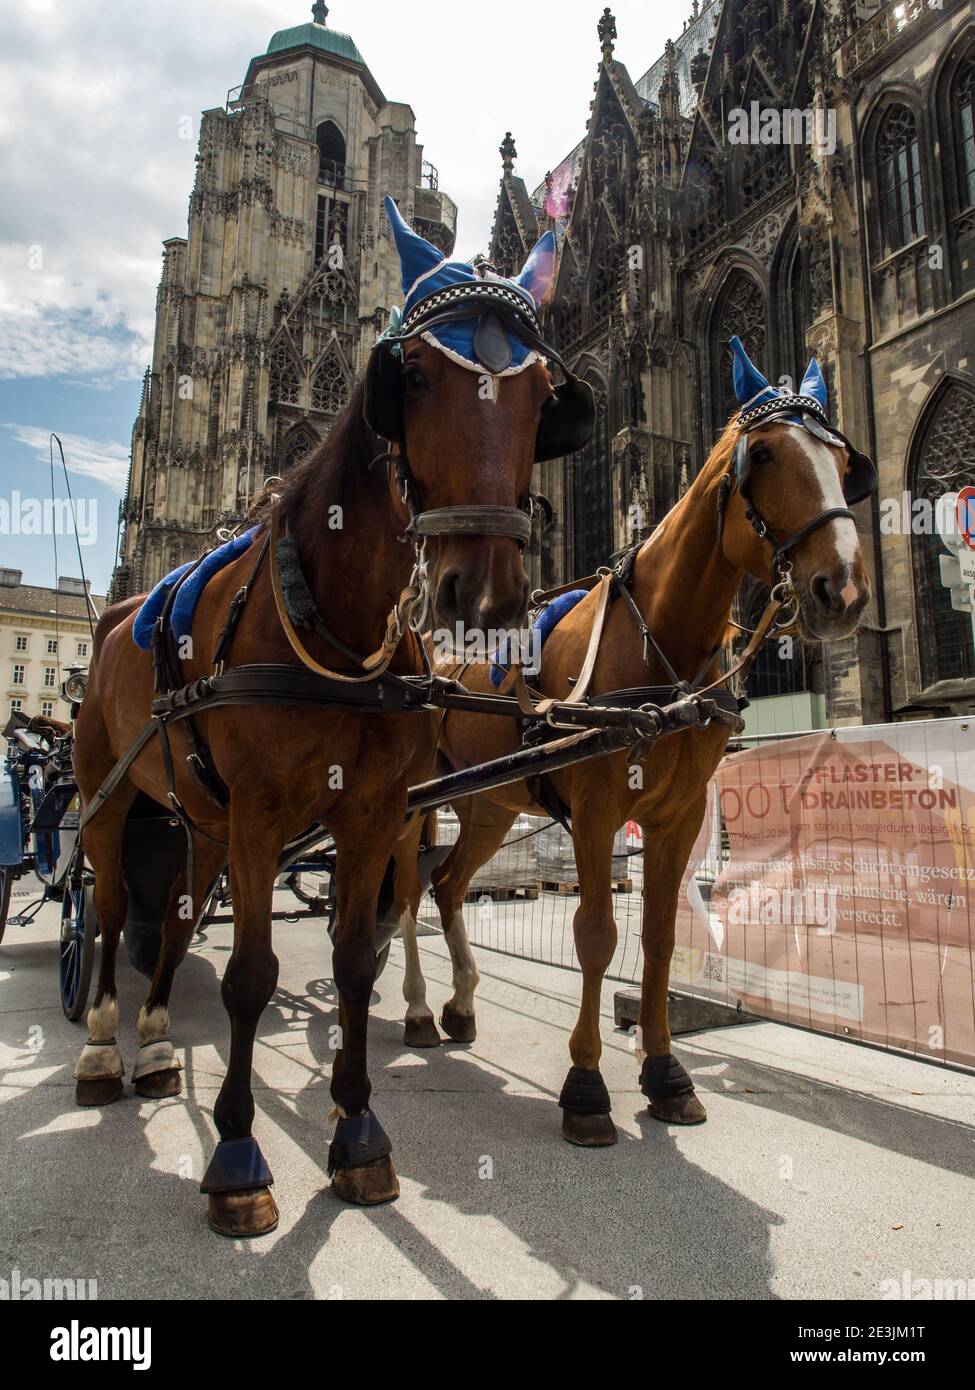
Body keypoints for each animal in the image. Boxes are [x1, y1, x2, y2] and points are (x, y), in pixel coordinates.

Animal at [70, 196, 593, 1235]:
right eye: (412, 375)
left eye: (542, 396)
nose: (485, 594)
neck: (334, 626)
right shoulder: (262, 813)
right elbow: (251, 975)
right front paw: (237, 1156)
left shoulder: (369, 810)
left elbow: (353, 959)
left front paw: (357, 1135)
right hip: (111, 797)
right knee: (107, 908)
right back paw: (107, 1044)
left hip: (196, 816)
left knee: (176, 914)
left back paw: (158, 1041)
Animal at [391, 339, 876, 1146]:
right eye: (764, 454)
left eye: (843, 462)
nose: (841, 590)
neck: (659, 644)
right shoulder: (595, 814)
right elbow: (594, 935)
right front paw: (586, 1087)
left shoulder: (677, 817)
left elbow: (656, 941)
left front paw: (666, 1074)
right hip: (404, 802)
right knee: (403, 890)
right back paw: (420, 1006)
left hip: (490, 804)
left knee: (449, 884)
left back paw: (459, 1004)